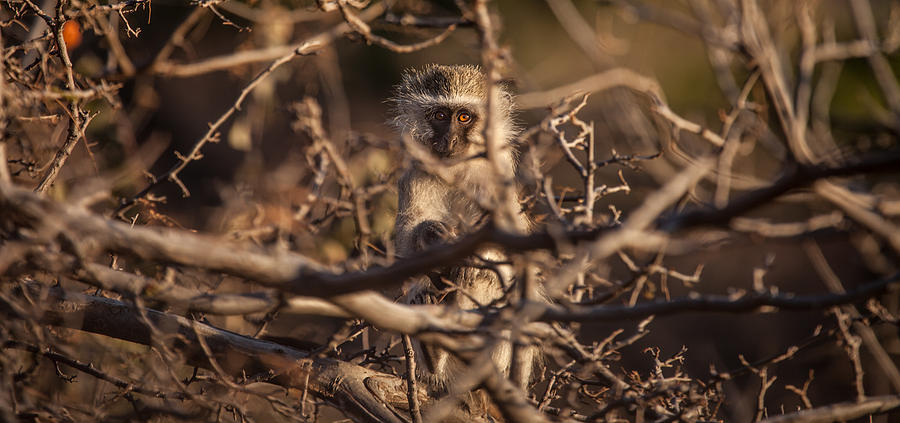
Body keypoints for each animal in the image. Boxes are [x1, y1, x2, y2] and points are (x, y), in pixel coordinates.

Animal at [389, 64, 542, 395]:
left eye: (463, 117)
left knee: (486, 279)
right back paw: (434, 350)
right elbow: (407, 244)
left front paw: (472, 260)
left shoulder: (498, 180)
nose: (448, 140)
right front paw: (432, 234)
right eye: (439, 116)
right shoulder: (416, 173)